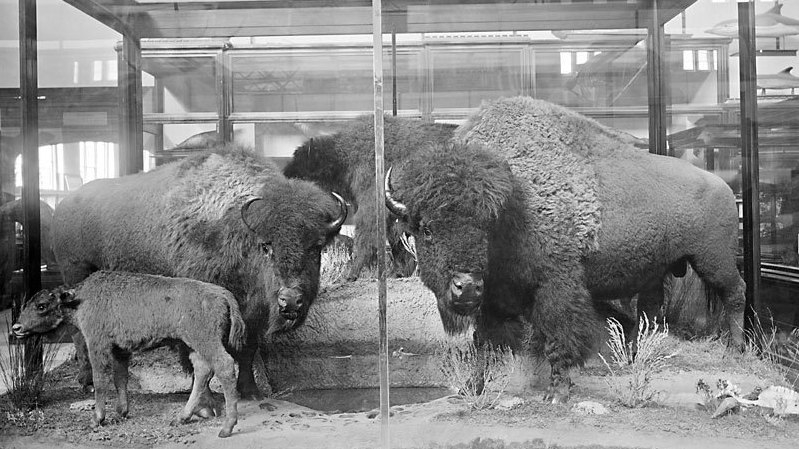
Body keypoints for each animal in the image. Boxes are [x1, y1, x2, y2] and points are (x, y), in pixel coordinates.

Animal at [52, 144, 347, 403]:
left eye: (316, 247)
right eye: (266, 246)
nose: (290, 301)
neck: (235, 227)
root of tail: (65, 204)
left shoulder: (250, 316)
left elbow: (247, 351)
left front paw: (251, 392)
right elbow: (197, 355)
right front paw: (206, 397)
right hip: (76, 276)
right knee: (79, 333)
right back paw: (88, 382)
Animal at [284, 115, 455, 280]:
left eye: (302, 178)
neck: (344, 159)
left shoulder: (371, 210)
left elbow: (364, 241)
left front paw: (350, 275)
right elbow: (396, 243)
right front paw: (399, 273)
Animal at [385, 96, 746, 403]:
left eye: (486, 227)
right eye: (427, 229)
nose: (466, 287)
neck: (516, 204)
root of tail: (724, 187)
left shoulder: (556, 283)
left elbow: (559, 336)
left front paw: (557, 393)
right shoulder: (493, 297)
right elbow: (484, 343)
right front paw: (473, 388)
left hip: (714, 261)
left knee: (735, 293)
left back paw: (736, 350)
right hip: (656, 271)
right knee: (648, 313)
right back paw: (632, 359)